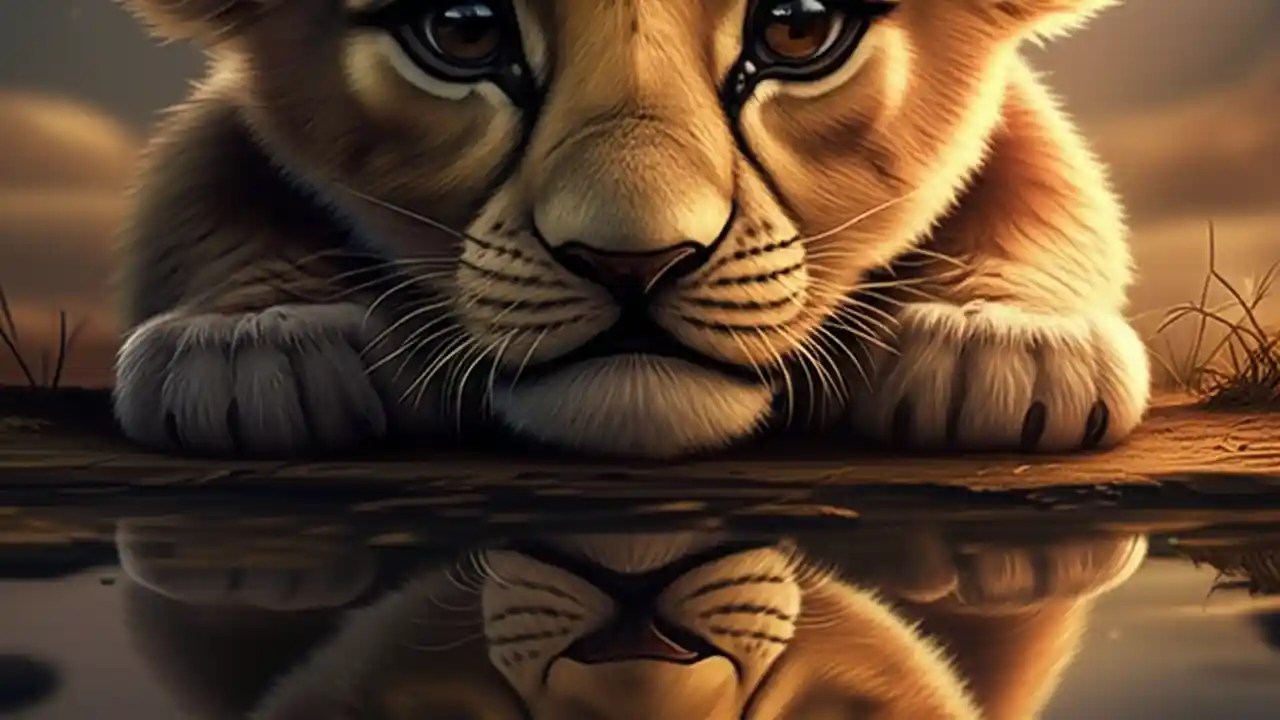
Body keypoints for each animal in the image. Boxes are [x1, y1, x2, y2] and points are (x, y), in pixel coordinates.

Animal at [113, 0, 1150, 458]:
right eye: (463, 31)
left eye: (800, 30)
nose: (633, 262)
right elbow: (202, 180)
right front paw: (256, 345)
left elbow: (1048, 181)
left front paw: (1001, 348)